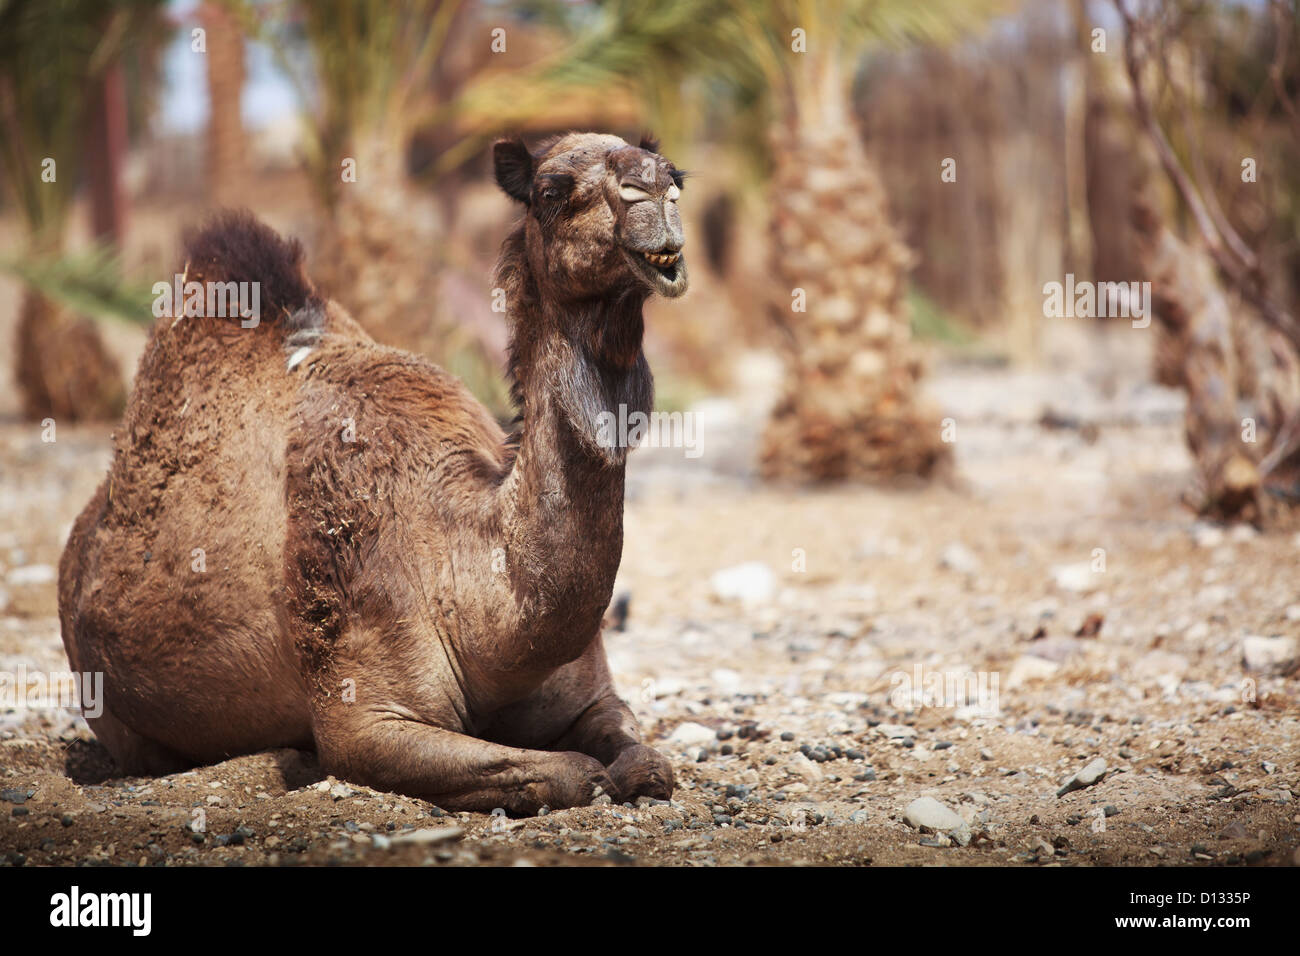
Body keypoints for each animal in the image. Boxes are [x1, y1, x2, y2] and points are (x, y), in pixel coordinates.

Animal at [58, 132, 688, 813]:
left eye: (675, 173)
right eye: (551, 190)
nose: (654, 187)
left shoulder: (591, 696)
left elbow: (647, 763)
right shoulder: (366, 718)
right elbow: (576, 773)